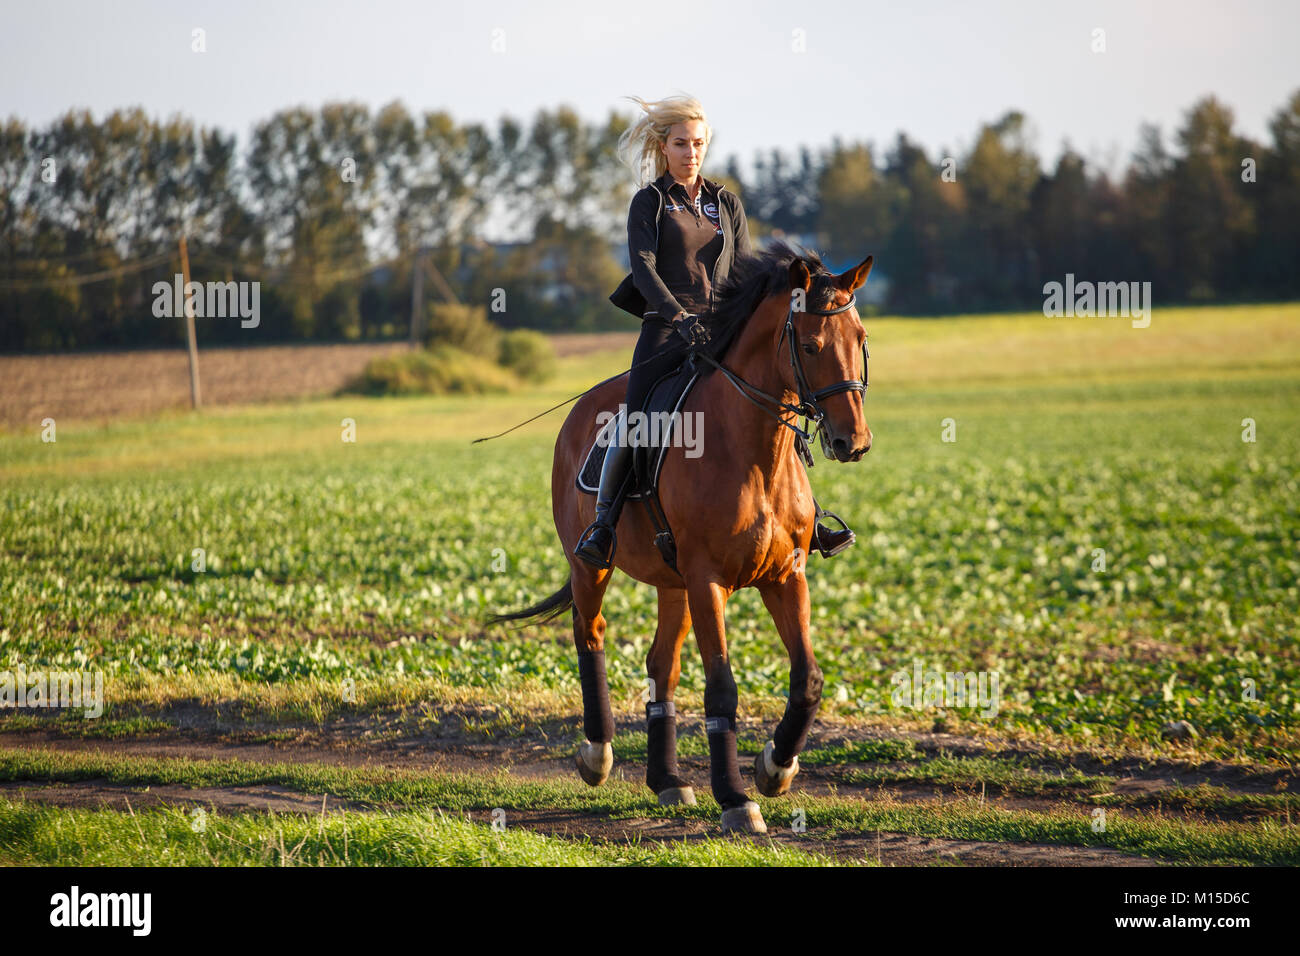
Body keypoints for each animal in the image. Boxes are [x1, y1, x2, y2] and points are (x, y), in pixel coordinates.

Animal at [491, 241, 874, 833]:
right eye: (810, 345)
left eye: (859, 340)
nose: (852, 442)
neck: (755, 453)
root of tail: (580, 411)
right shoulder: (708, 580)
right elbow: (721, 686)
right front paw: (737, 798)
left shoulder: (785, 576)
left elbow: (807, 677)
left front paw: (774, 768)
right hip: (593, 566)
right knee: (590, 633)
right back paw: (597, 753)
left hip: (672, 583)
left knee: (660, 665)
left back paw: (668, 780)